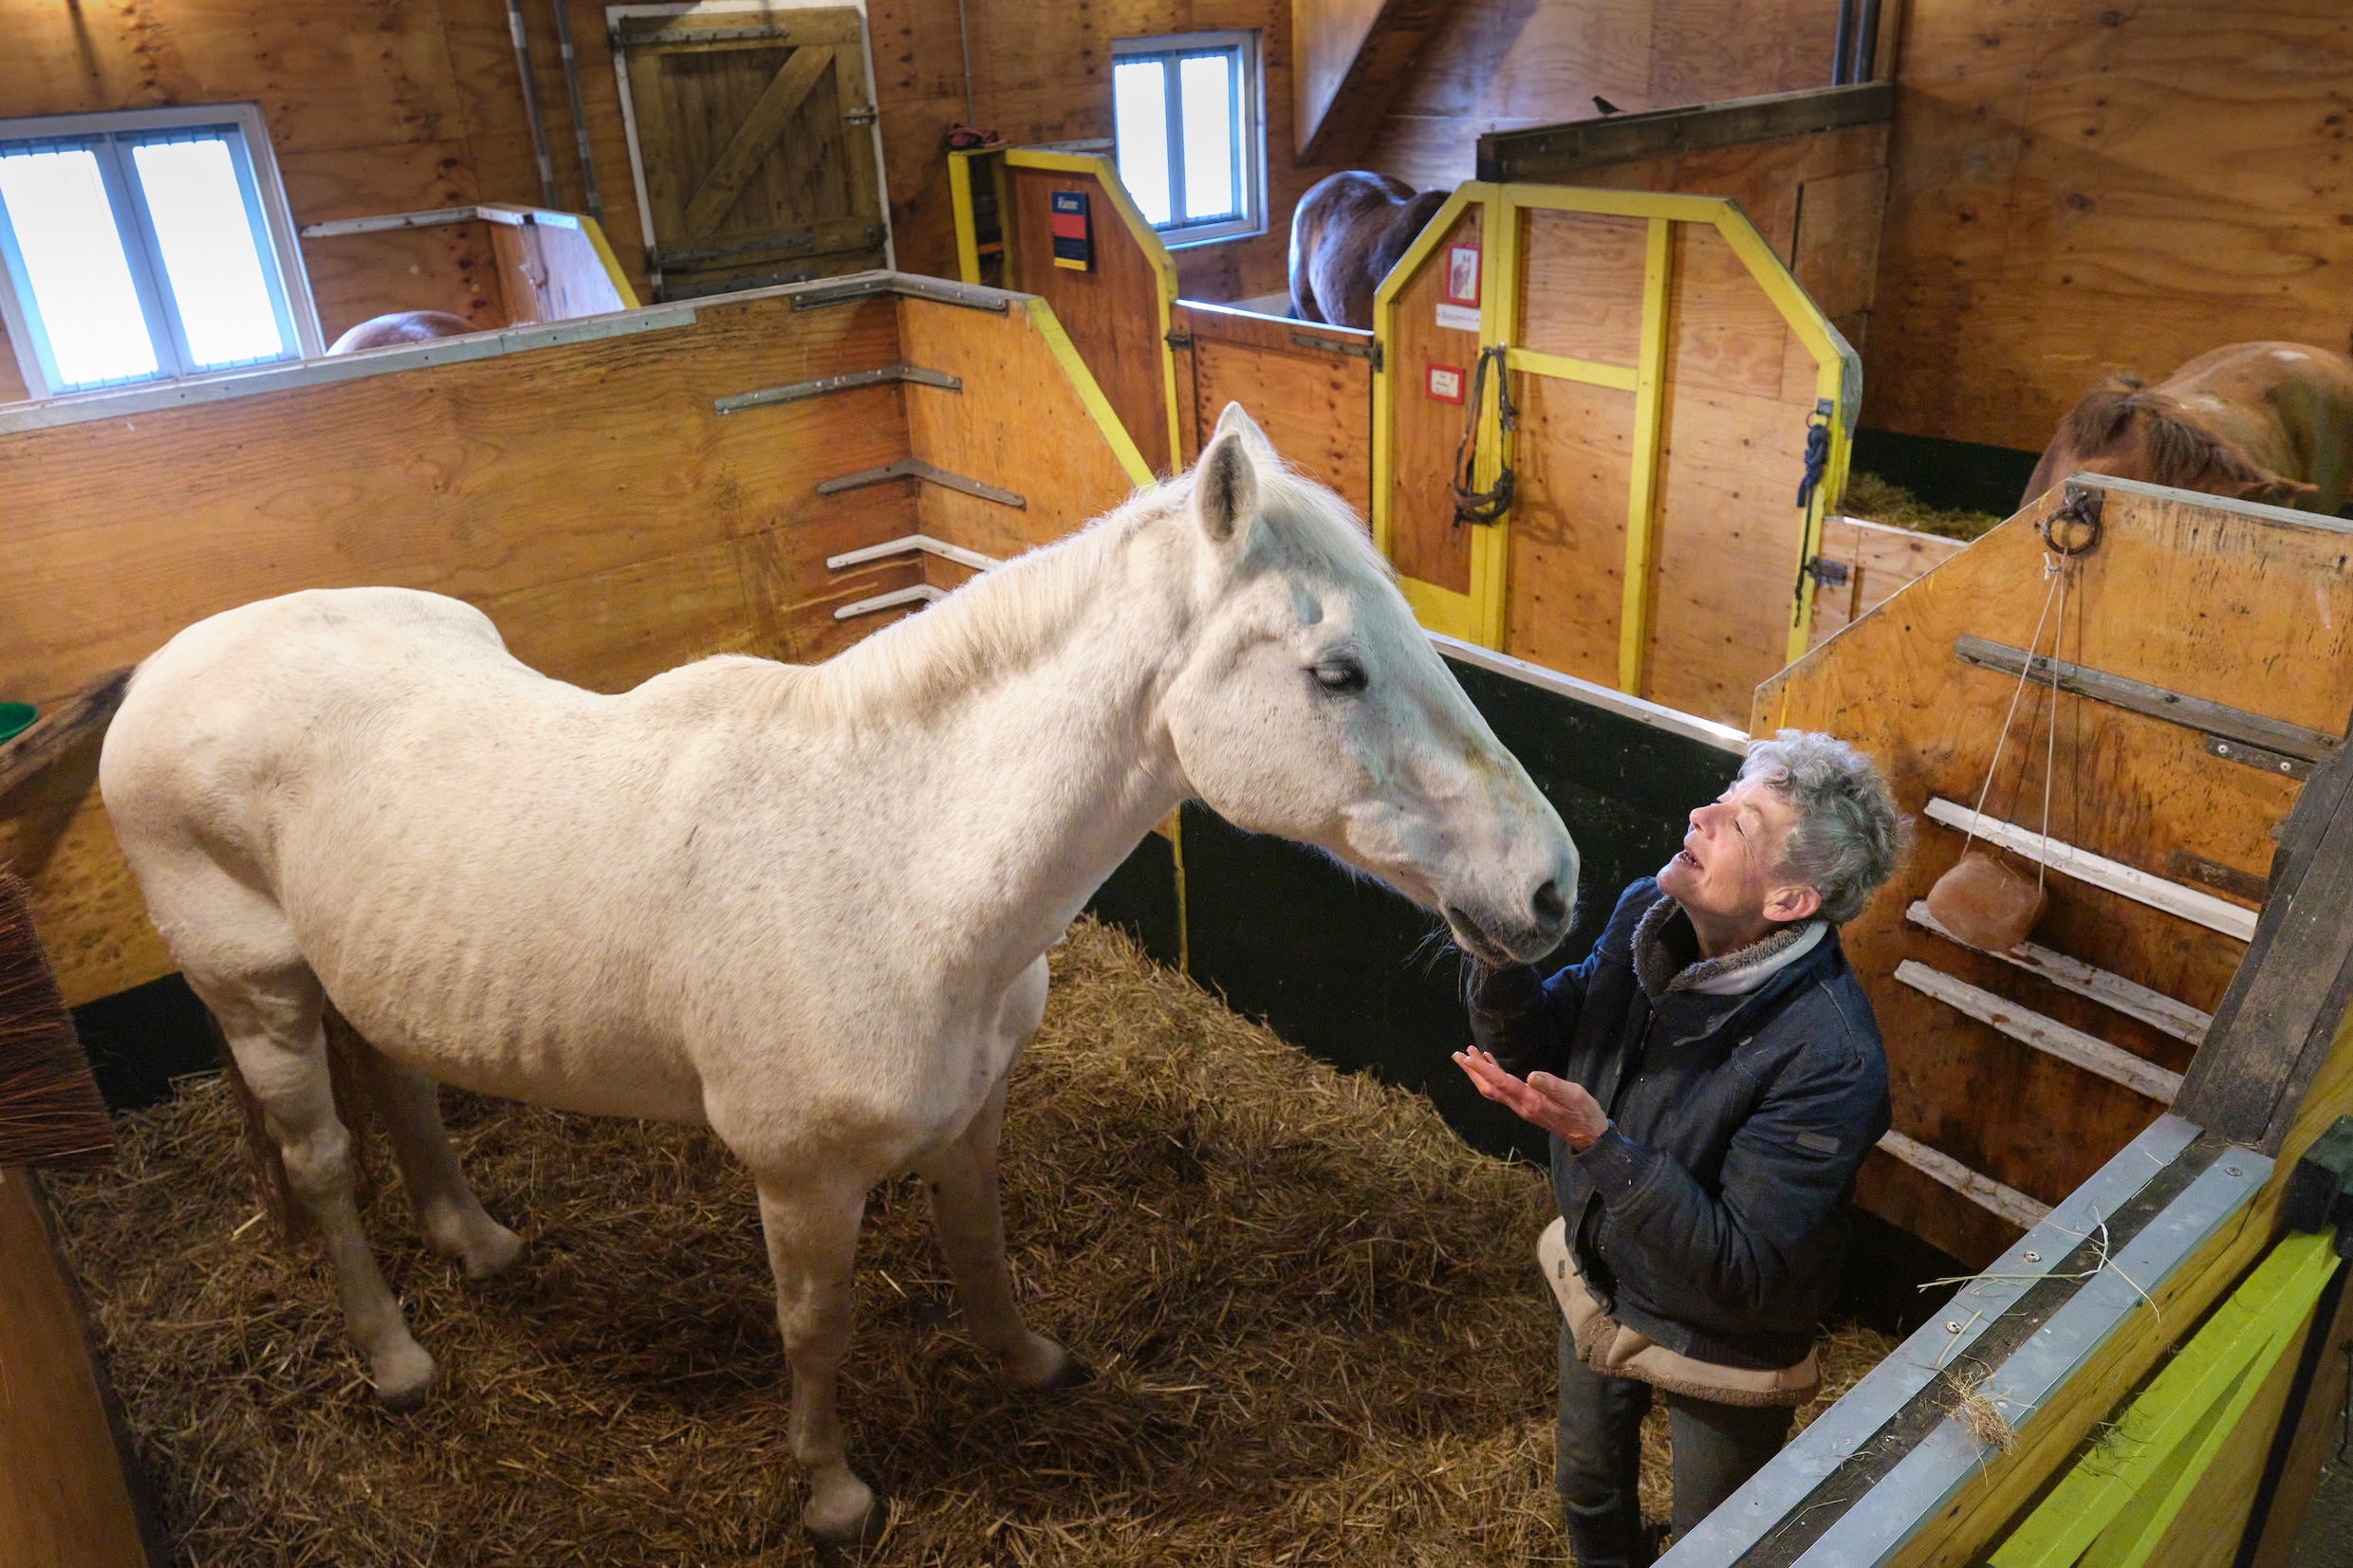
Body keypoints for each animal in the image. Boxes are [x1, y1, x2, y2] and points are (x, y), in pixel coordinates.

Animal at [98, 404, 1578, 1545]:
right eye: (1336, 671)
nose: (1551, 886)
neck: (901, 858)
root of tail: (165, 665)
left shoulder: (973, 1114)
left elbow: (981, 1250)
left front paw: (1029, 1364)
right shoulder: (800, 1180)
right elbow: (815, 1327)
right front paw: (832, 1496)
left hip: (360, 975)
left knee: (401, 1085)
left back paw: (477, 1240)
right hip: (257, 994)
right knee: (323, 1165)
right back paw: (396, 1356)